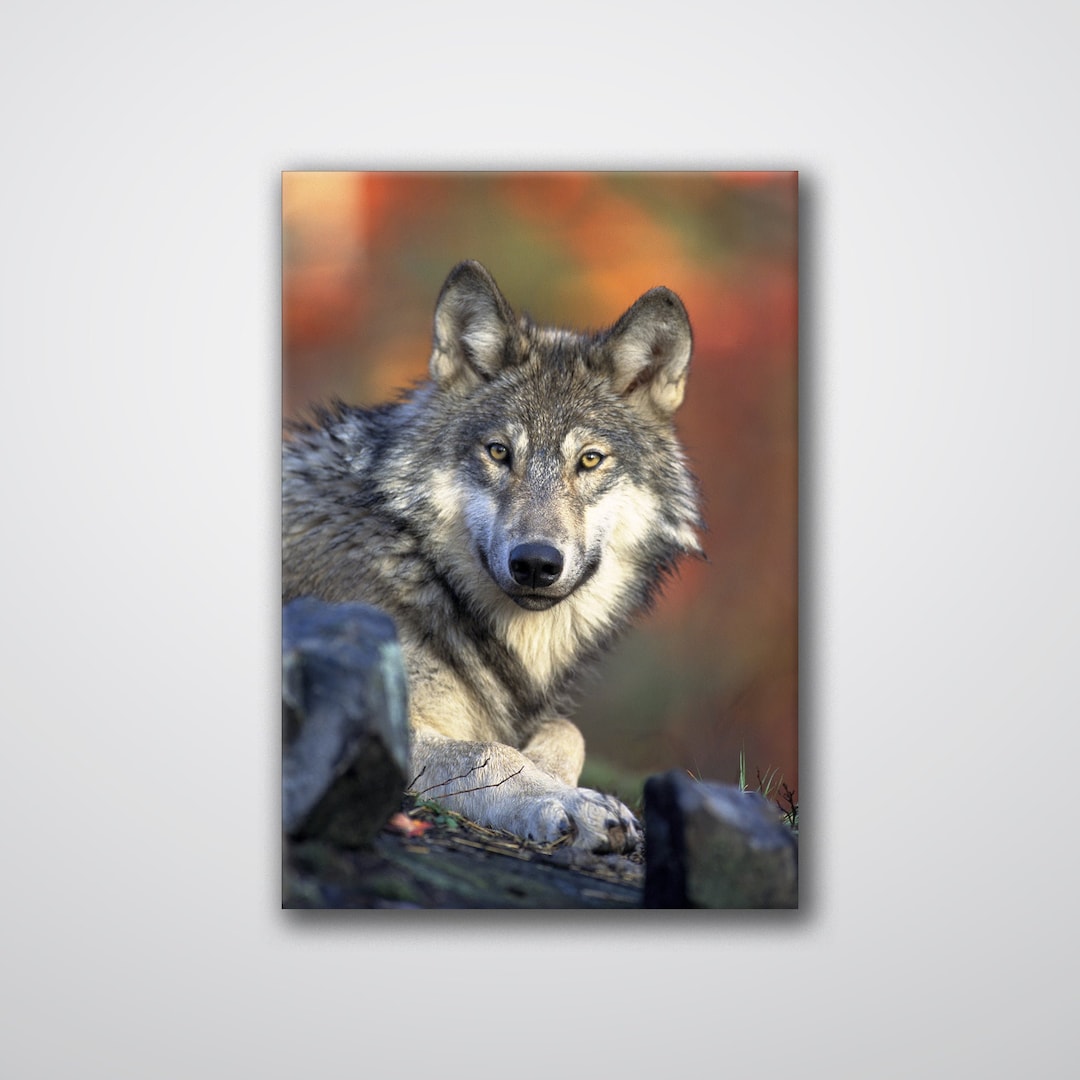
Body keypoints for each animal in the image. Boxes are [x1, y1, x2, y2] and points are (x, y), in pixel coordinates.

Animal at [282, 260, 703, 853]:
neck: (420, 566)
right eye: (500, 452)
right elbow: (489, 751)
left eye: (589, 460)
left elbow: (567, 731)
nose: (535, 563)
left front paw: (556, 778)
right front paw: (570, 802)